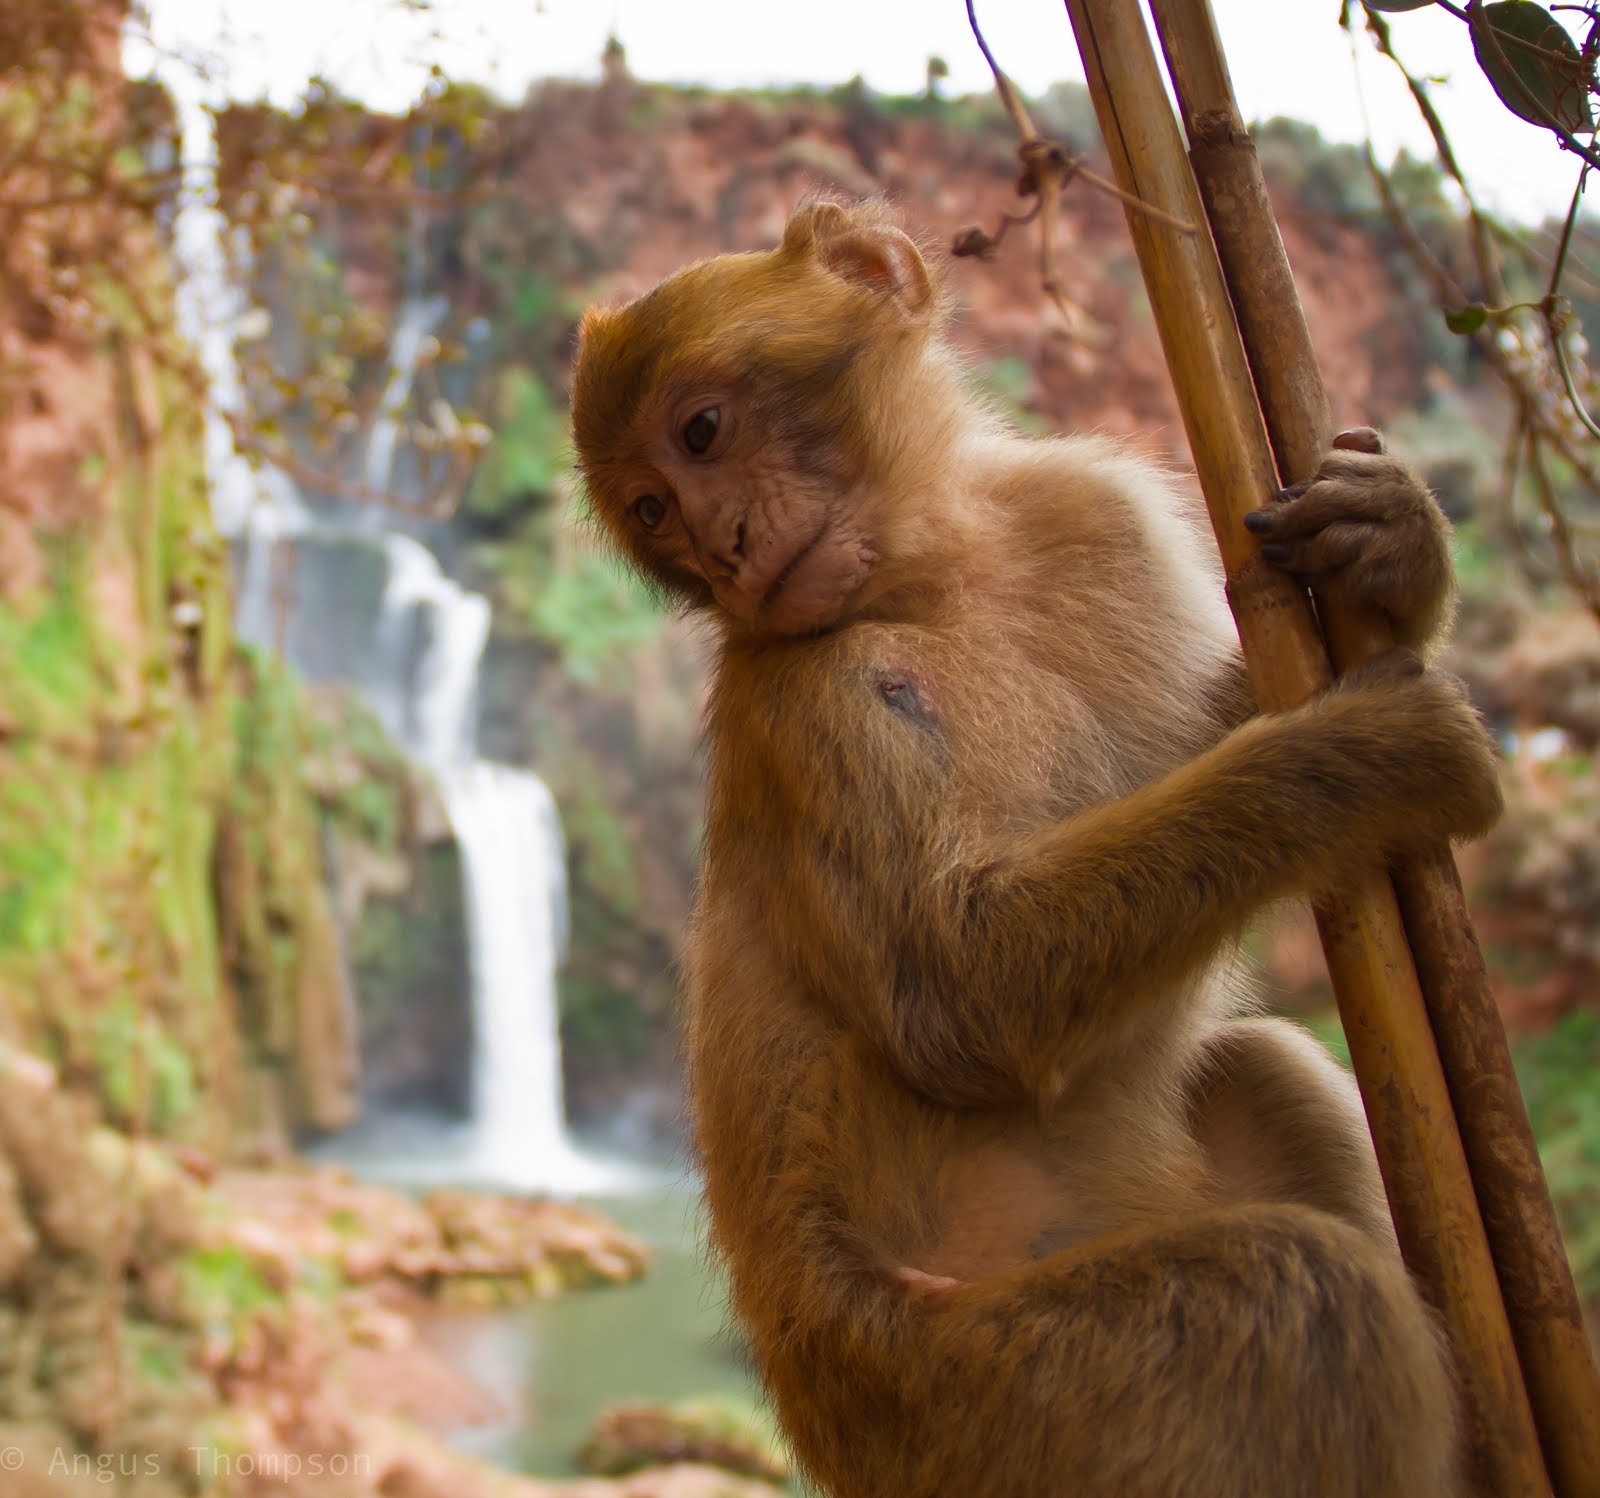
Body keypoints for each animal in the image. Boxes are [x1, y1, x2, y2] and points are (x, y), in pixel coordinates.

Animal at [570, 199, 1500, 1498]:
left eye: (701, 433)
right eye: (655, 508)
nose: (727, 548)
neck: (941, 575)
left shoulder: (1091, 516)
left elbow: (1204, 721)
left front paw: (1396, 553)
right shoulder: (805, 705)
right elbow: (957, 999)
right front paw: (1369, 754)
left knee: (1264, 1073)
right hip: (989, 1398)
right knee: (1306, 1296)